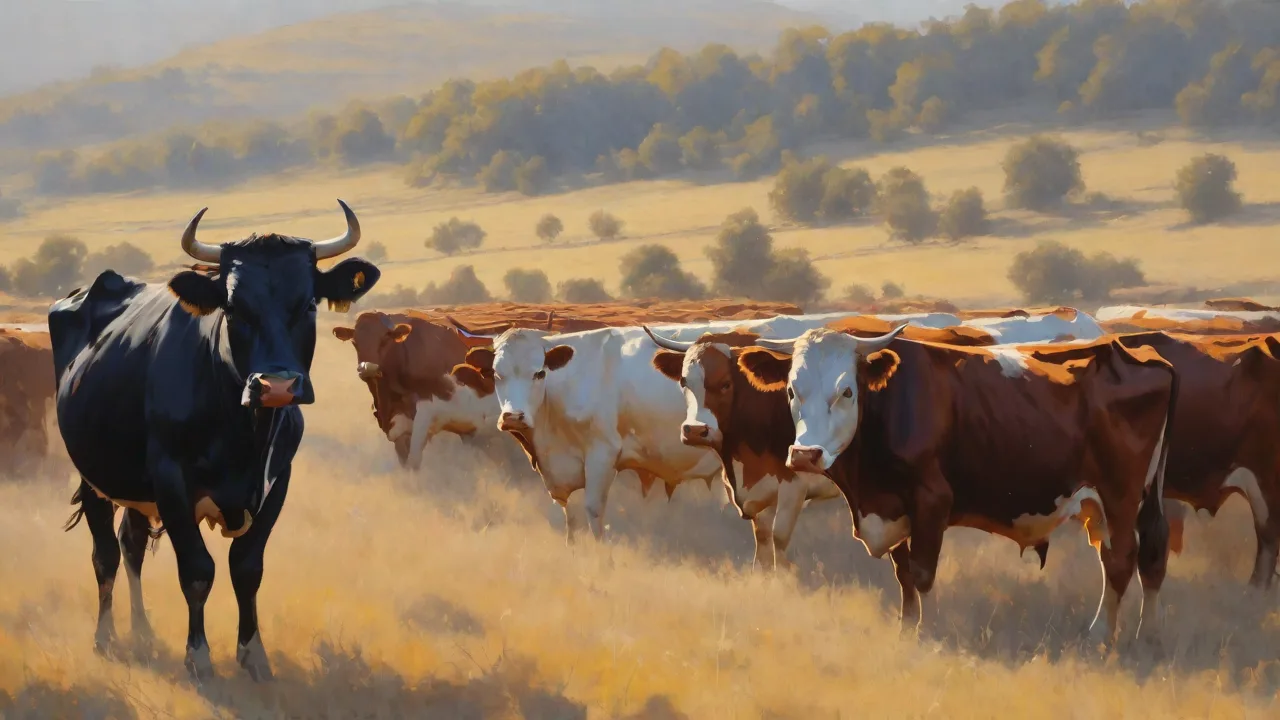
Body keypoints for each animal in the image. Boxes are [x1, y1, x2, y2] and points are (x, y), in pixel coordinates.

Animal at [50, 200, 379, 681]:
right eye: (234, 307)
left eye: (307, 305)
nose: (277, 385)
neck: (244, 434)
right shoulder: (171, 480)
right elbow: (197, 571)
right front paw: (198, 656)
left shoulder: (277, 481)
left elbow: (247, 567)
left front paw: (253, 655)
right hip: (93, 475)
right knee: (105, 554)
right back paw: (106, 636)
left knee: (131, 546)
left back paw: (143, 633)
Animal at [645, 321, 998, 570]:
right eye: (684, 382)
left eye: (725, 384)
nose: (695, 431)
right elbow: (762, 538)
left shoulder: (793, 484)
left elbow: (779, 537)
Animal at [734, 328, 1177, 645]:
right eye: (792, 390)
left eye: (846, 391)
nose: (805, 454)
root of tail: (1131, 351)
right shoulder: (896, 509)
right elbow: (904, 575)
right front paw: (906, 629)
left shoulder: (931, 501)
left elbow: (922, 573)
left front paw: (927, 633)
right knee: (1146, 557)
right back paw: (1148, 634)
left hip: (1120, 495)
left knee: (1121, 559)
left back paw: (1102, 634)